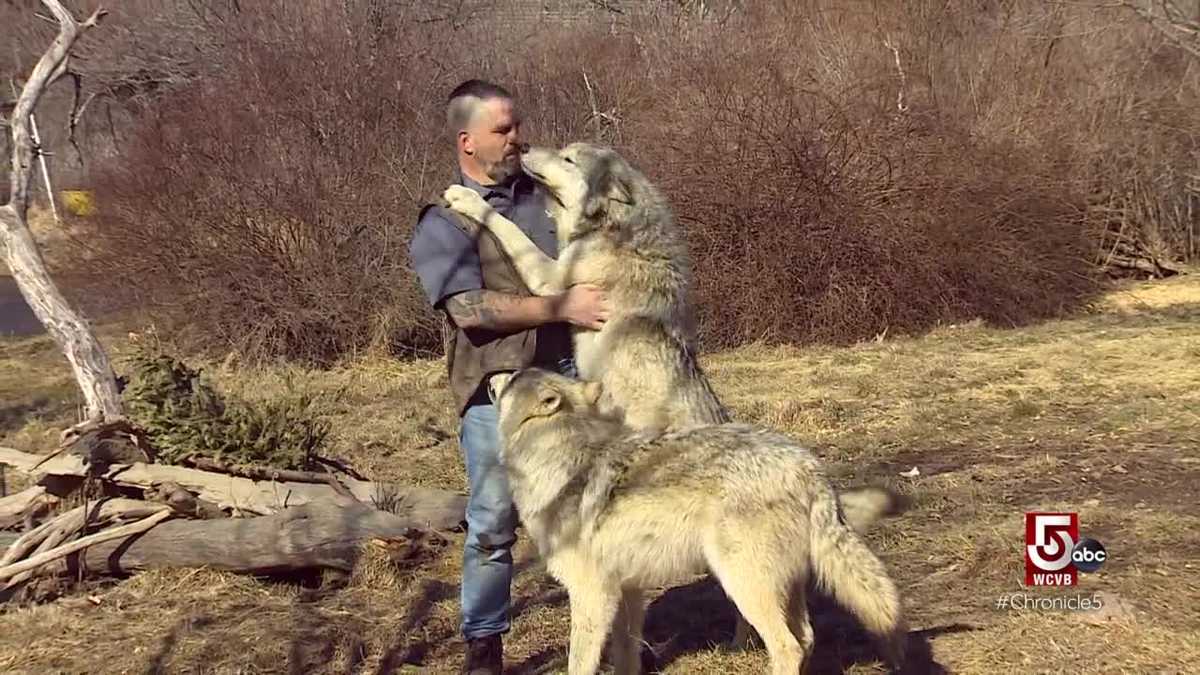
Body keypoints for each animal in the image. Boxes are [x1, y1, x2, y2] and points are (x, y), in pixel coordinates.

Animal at [489, 368, 908, 675]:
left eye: (512, 378)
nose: (490, 377)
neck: (559, 461)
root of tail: (807, 465)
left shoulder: (593, 594)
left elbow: (579, 662)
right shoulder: (629, 591)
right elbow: (627, 654)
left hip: (744, 586)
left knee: (788, 646)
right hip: (781, 588)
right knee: (806, 638)